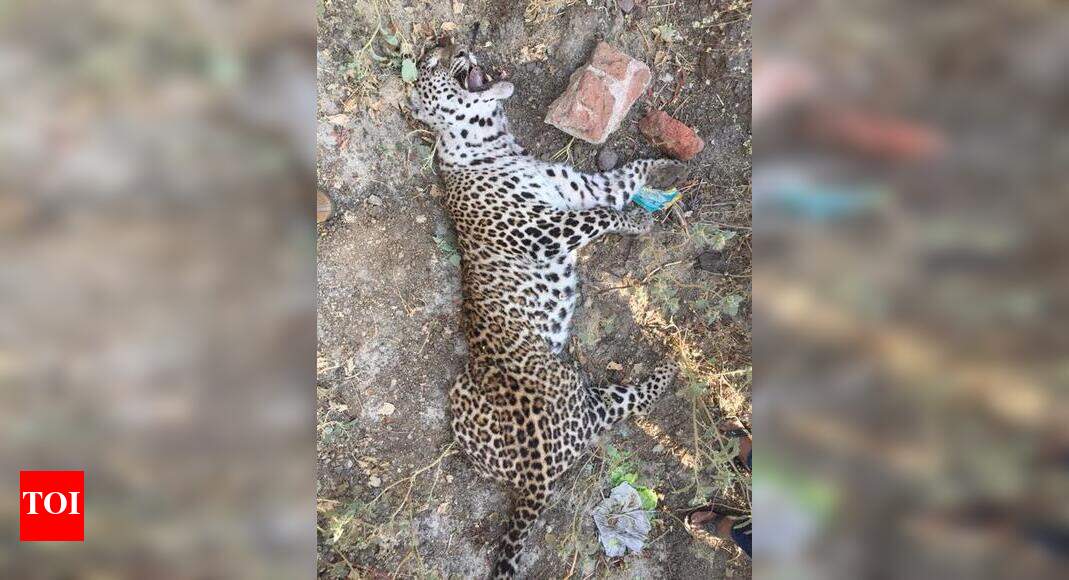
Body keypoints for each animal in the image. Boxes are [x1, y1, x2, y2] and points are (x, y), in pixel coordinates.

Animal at [410, 42, 686, 578]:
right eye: (431, 64)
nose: (458, 44)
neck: (496, 141)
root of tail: (534, 475)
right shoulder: (542, 228)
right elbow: (604, 214)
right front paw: (639, 222)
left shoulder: (582, 190)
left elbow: (627, 174)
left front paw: (666, 166)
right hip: (582, 396)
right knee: (630, 400)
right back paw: (669, 366)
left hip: (465, 396)